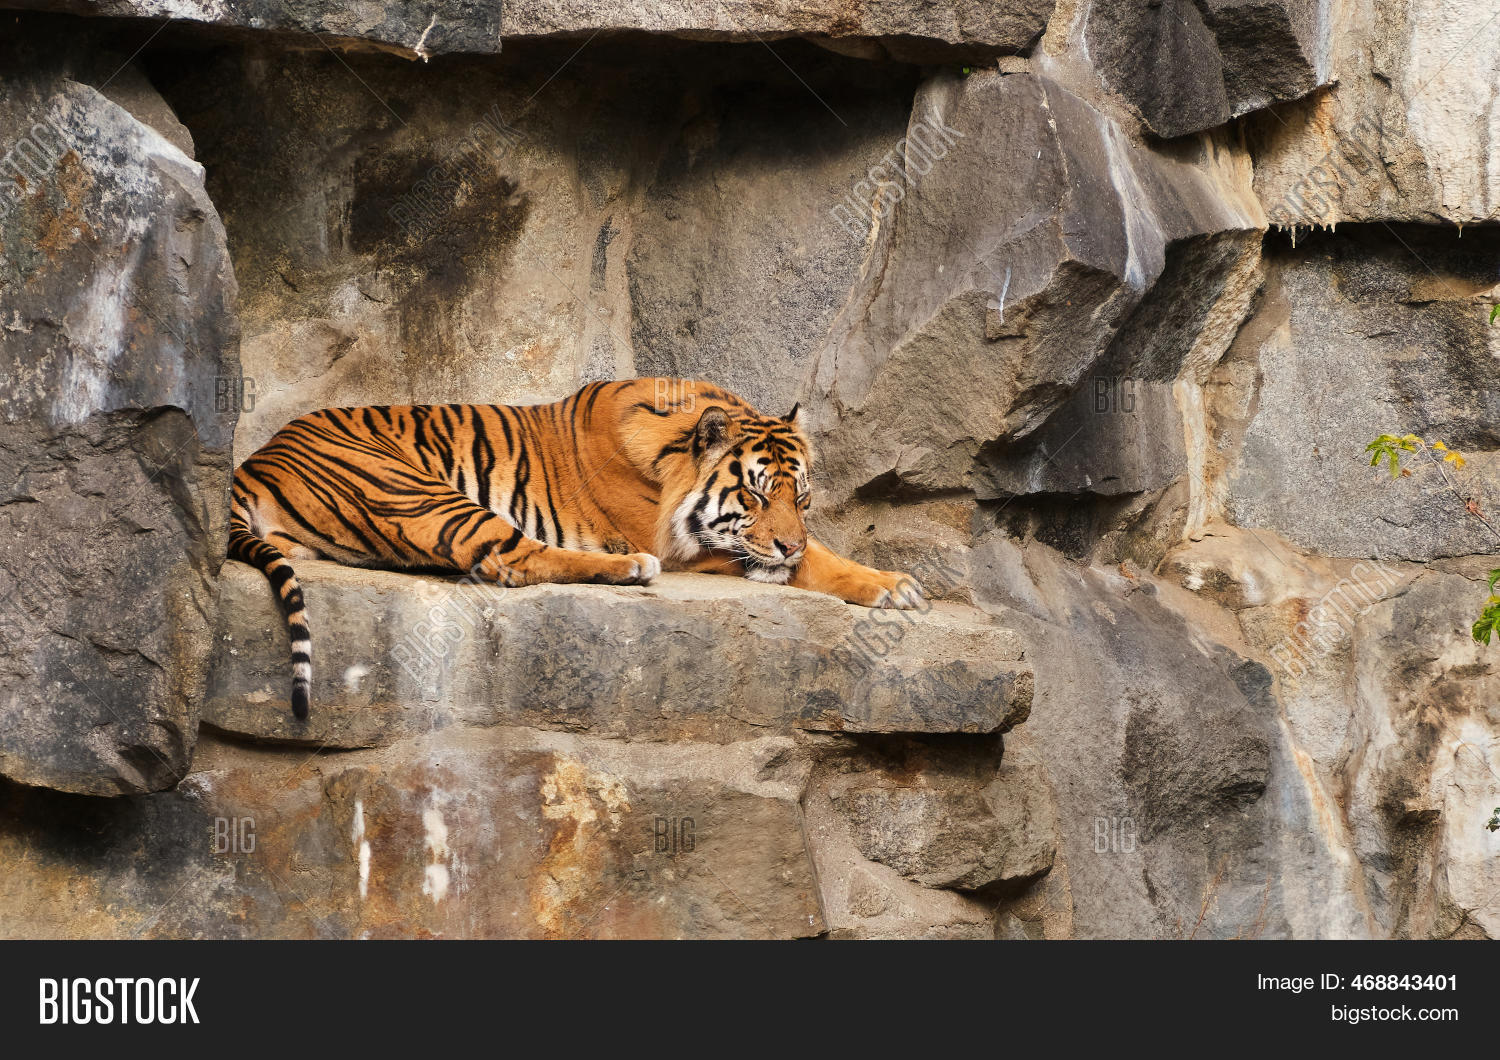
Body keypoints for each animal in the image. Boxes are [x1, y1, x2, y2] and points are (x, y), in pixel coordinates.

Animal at [228, 378, 925, 720]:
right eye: (753, 496)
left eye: (801, 498)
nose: (785, 540)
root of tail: (256, 460)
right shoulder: (680, 540)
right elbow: (811, 559)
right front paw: (890, 585)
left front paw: (884, 579)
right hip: (413, 489)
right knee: (512, 558)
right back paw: (630, 569)